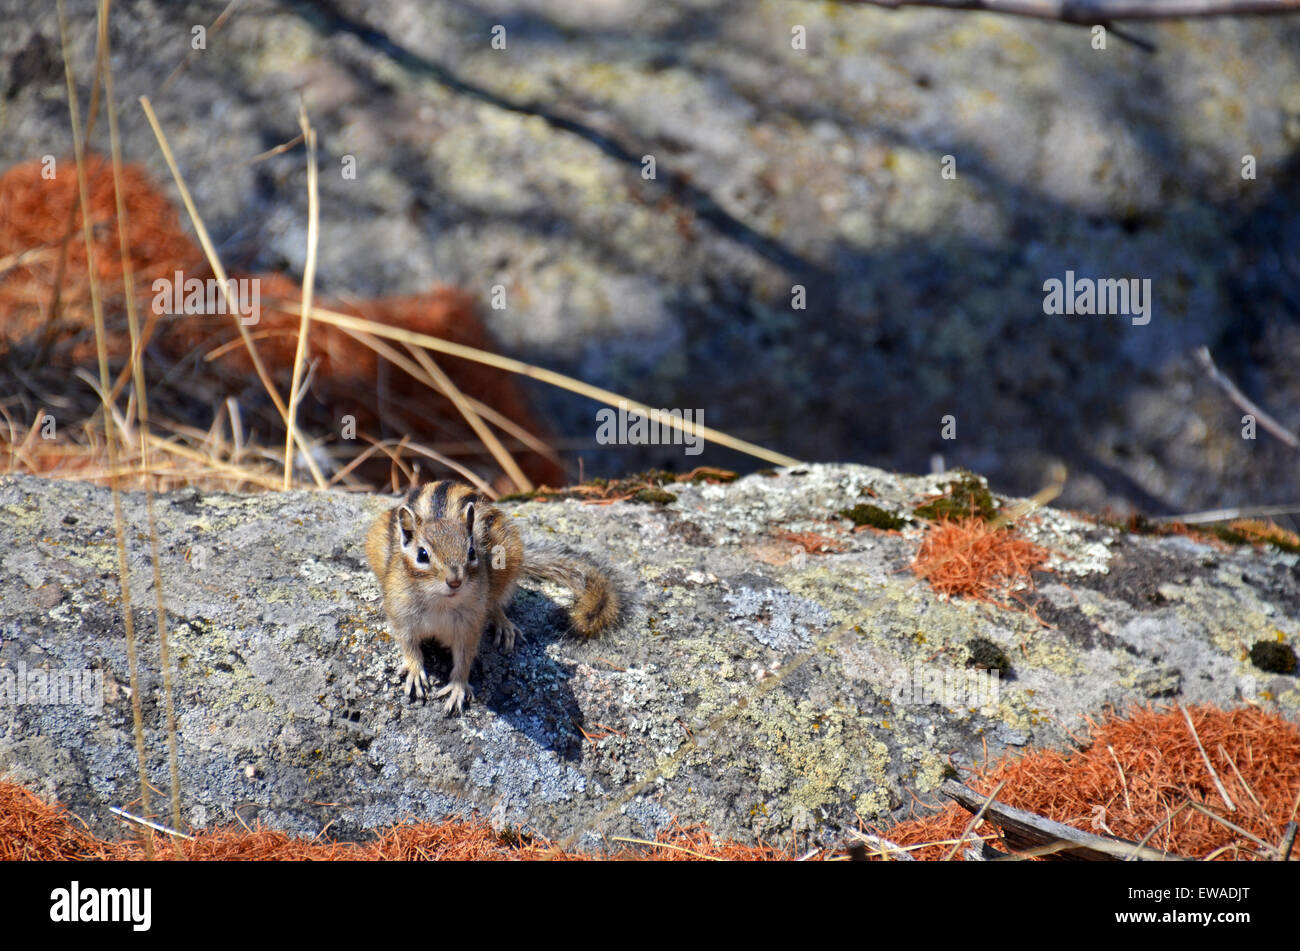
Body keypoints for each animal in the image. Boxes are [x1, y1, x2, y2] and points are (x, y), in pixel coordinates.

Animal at [364, 479, 624, 715]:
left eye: (471, 552)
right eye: (422, 555)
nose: (455, 581)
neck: (439, 602)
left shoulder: (469, 625)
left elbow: (465, 657)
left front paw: (458, 687)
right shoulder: (402, 615)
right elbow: (408, 645)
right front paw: (416, 671)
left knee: (497, 602)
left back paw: (504, 625)